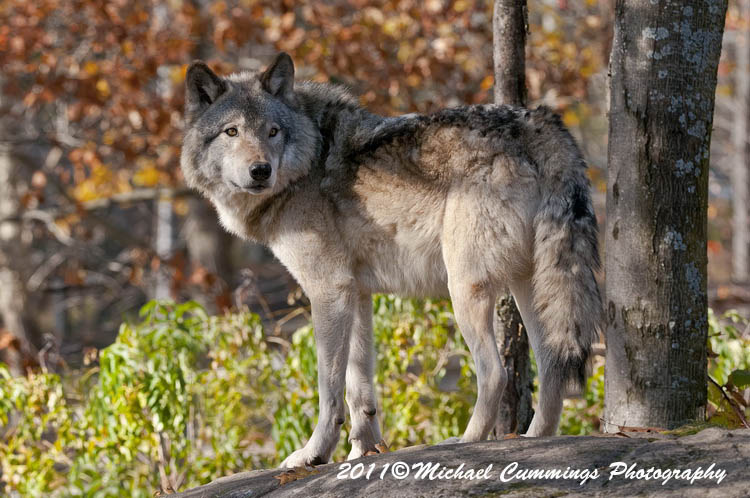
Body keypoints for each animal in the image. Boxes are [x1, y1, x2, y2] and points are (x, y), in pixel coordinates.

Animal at [181, 52, 603, 468]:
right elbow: (359, 387)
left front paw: (314, 454)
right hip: (530, 288)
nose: (261, 171)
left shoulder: (328, 291)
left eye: (272, 131)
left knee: (495, 373)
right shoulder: (357, 294)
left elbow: (329, 388)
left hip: (464, 288)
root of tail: (541, 124)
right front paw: (361, 452)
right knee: (553, 367)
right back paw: (535, 440)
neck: (309, 159)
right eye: (232, 132)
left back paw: (464, 443)